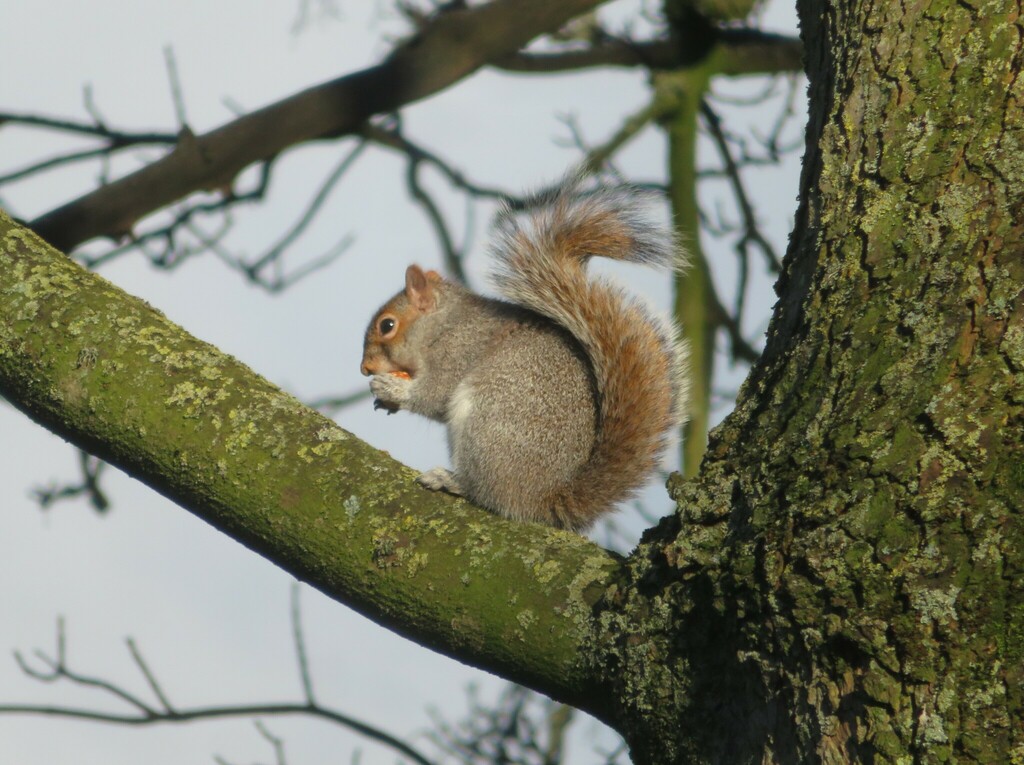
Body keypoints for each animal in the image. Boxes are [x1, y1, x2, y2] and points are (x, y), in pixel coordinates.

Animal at [360, 183, 688, 532]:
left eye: (387, 325)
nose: (364, 368)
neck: (443, 324)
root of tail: (544, 499)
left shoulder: (459, 351)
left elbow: (434, 395)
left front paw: (393, 389)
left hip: (489, 427)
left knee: (491, 496)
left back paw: (453, 481)